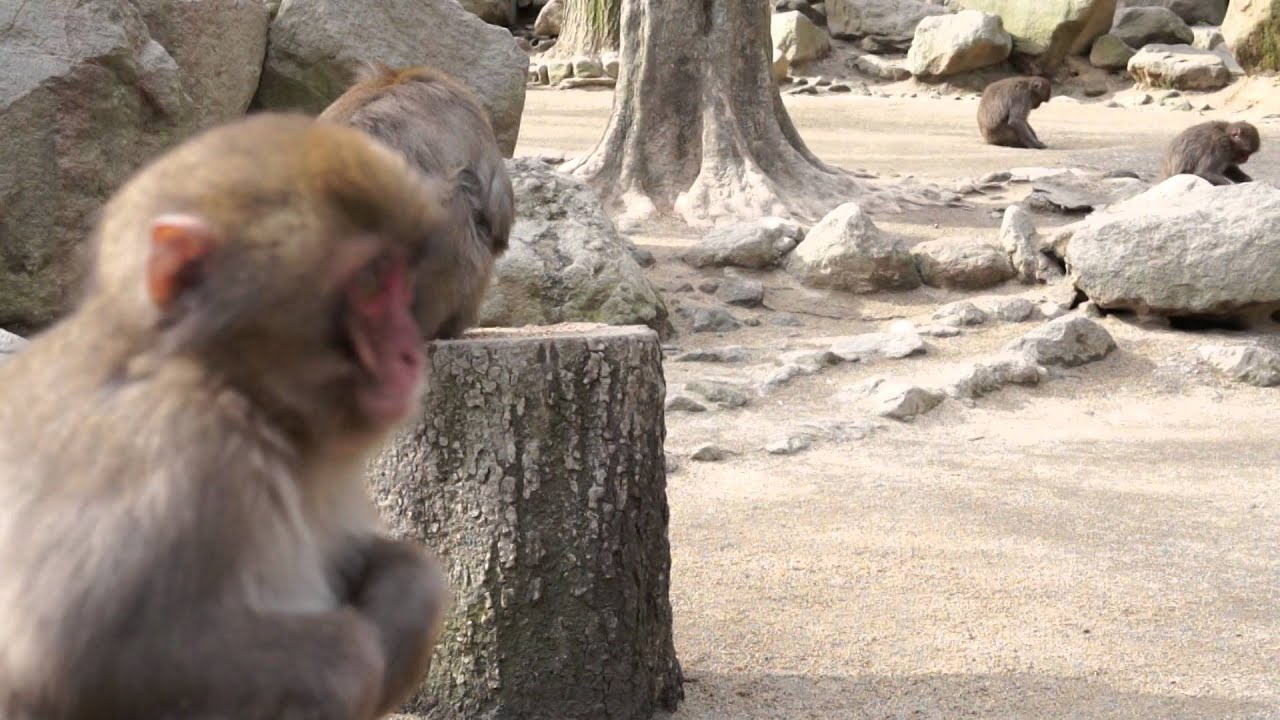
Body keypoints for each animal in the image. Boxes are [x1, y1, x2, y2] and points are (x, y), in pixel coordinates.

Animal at [0, 114, 454, 720]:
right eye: (370, 281)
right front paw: (351, 658)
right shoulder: (181, 450)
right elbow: (69, 657)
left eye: (400, 275)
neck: (240, 392)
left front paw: (409, 592)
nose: (411, 353)